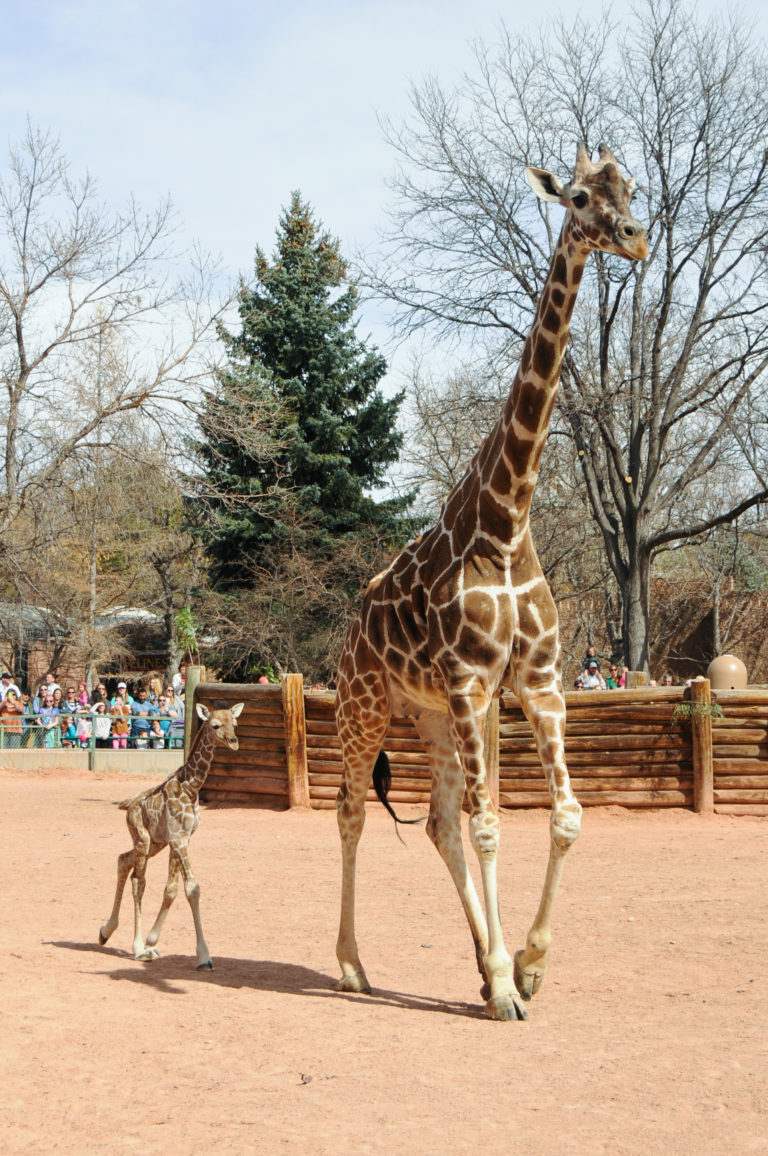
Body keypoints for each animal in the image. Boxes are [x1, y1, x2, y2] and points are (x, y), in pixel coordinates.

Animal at [99, 701, 244, 969]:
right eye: (215, 725)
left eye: (235, 722)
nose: (233, 741)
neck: (191, 787)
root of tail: (128, 808)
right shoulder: (177, 839)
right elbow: (192, 888)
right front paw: (203, 956)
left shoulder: (182, 838)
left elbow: (171, 890)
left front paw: (152, 942)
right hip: (144, 840)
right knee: (138, 882)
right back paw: (136, 948)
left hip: (154, 844)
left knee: (123, 860)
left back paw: (106, 931)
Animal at [334, 144, 648, 1020]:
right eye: (578, 199)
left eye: (630, 189)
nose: (637, 238)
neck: (506, 522)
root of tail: (351, 623)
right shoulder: (477, 682)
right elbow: (490, 827)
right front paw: (509, 982)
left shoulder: (536, 683)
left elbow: (564, 816)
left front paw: (527, 966)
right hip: (364, 706)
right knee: (352, 816)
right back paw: (352, 967)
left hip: (431, 716)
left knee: (437, 823)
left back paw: (478, 963)